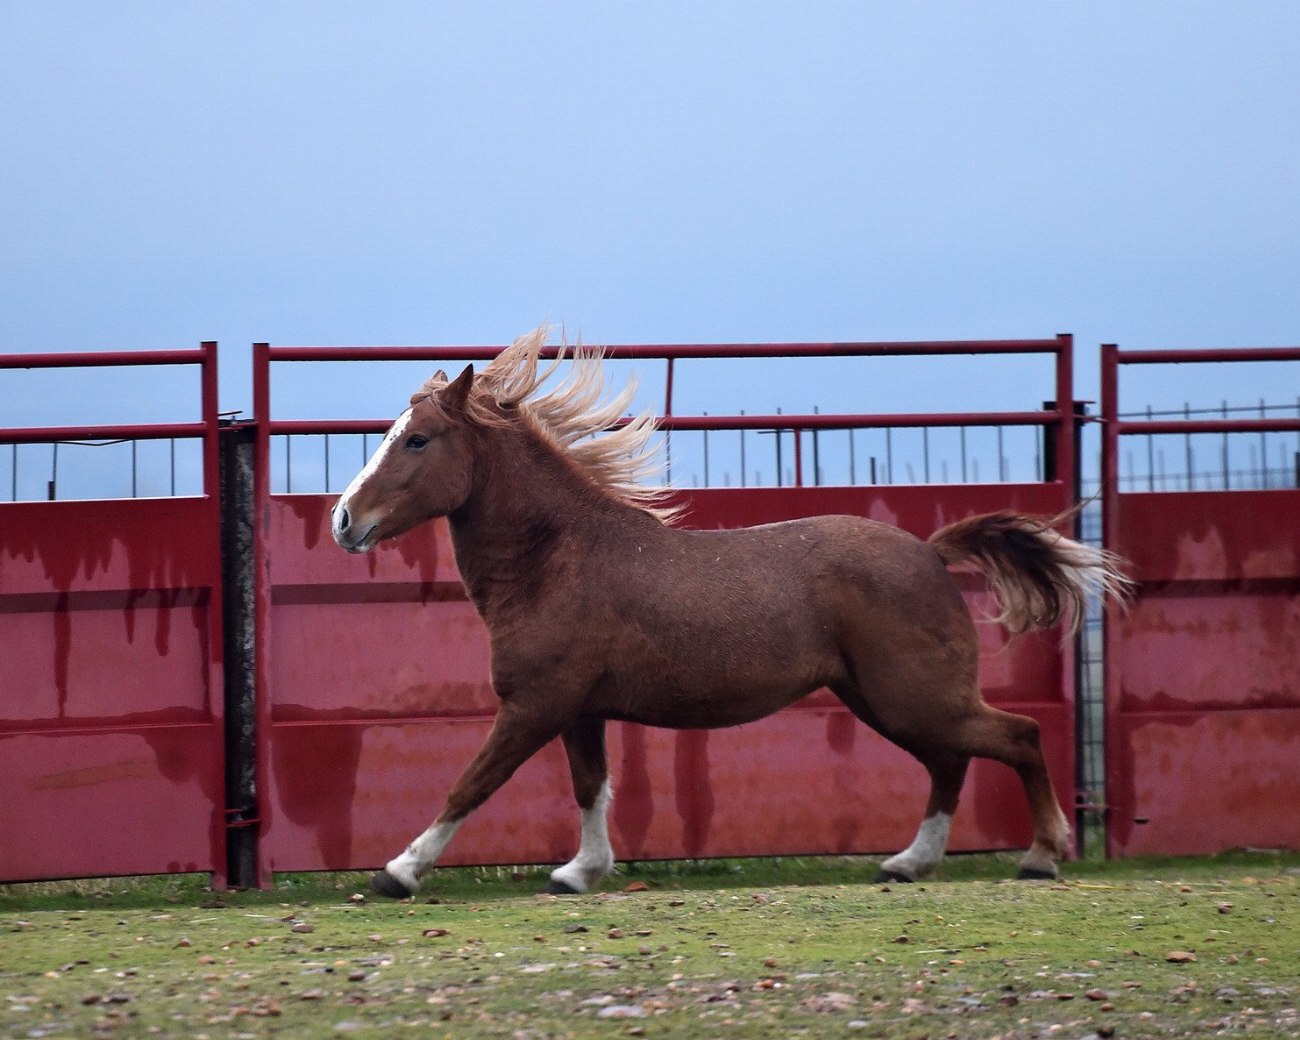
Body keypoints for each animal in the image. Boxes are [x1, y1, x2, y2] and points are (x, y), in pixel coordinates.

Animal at [331, 327, 1130, 899]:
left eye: (417, 439)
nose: (344, 520)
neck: (556, 559)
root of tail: (931, 552)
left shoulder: (534, 706)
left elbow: (471, 784)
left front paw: (397, 872)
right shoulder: (577, 711)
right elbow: (590, 788)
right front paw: (581, 872)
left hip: (913, 696)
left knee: (1016, 737)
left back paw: (1040, 857)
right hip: (883, 699)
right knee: (952, 761)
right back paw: (908, 863)